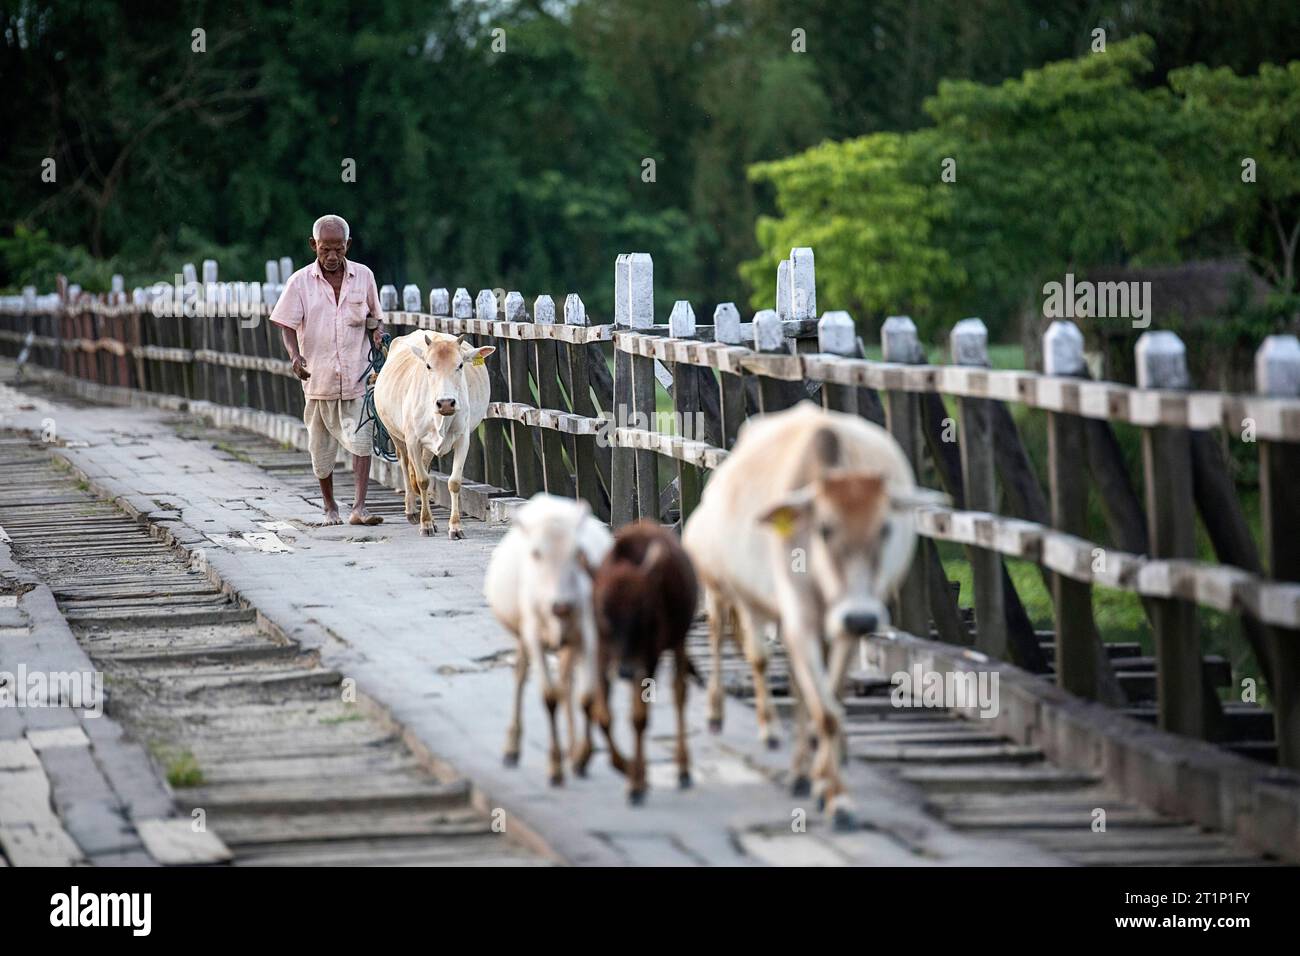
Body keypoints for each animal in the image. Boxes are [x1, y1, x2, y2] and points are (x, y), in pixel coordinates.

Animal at [373, 330, 494, 539]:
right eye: (428, 366)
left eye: (460, 365)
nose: (446, 403)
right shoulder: (413, 441)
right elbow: (422, 481)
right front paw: (427, 523)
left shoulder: (463, 439)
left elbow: (454, 482)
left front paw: (455, 527)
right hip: (396, 435)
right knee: (405, 466)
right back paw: (412, 511)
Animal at [484, 494, 612, 785]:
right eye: (535, 553)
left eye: (578, 553)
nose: (561, 606)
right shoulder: (533, 634)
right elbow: (548, 697)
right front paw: (554, 766)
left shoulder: (589, 634)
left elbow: (587, 698)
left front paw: (582, 757)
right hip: (523, 634)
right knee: (522, 675)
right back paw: (513, 748)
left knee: (566, 682)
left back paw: (572, 748)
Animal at [591, 520, 699, 804]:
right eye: (604, 611)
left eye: (642, 611)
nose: (624, 670)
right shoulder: (603, 653)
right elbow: (603, 716)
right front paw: (627, 767)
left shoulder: (649, 656)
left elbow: (639, 719)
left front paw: (636, 784)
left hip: (678, 638)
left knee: (679, 692)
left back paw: (683, 769)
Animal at [682, 401, 931, 829]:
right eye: (825, 529)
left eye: (885, 528)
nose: (861, 618)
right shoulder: (791, 615)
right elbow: (822, 709)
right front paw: (835, 797)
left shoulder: (838, 627)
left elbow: (829, 703)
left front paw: (828, 787)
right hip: (727, 591)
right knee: (725, 639)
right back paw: (725, 716)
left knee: (800, 685)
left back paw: (803, 769)